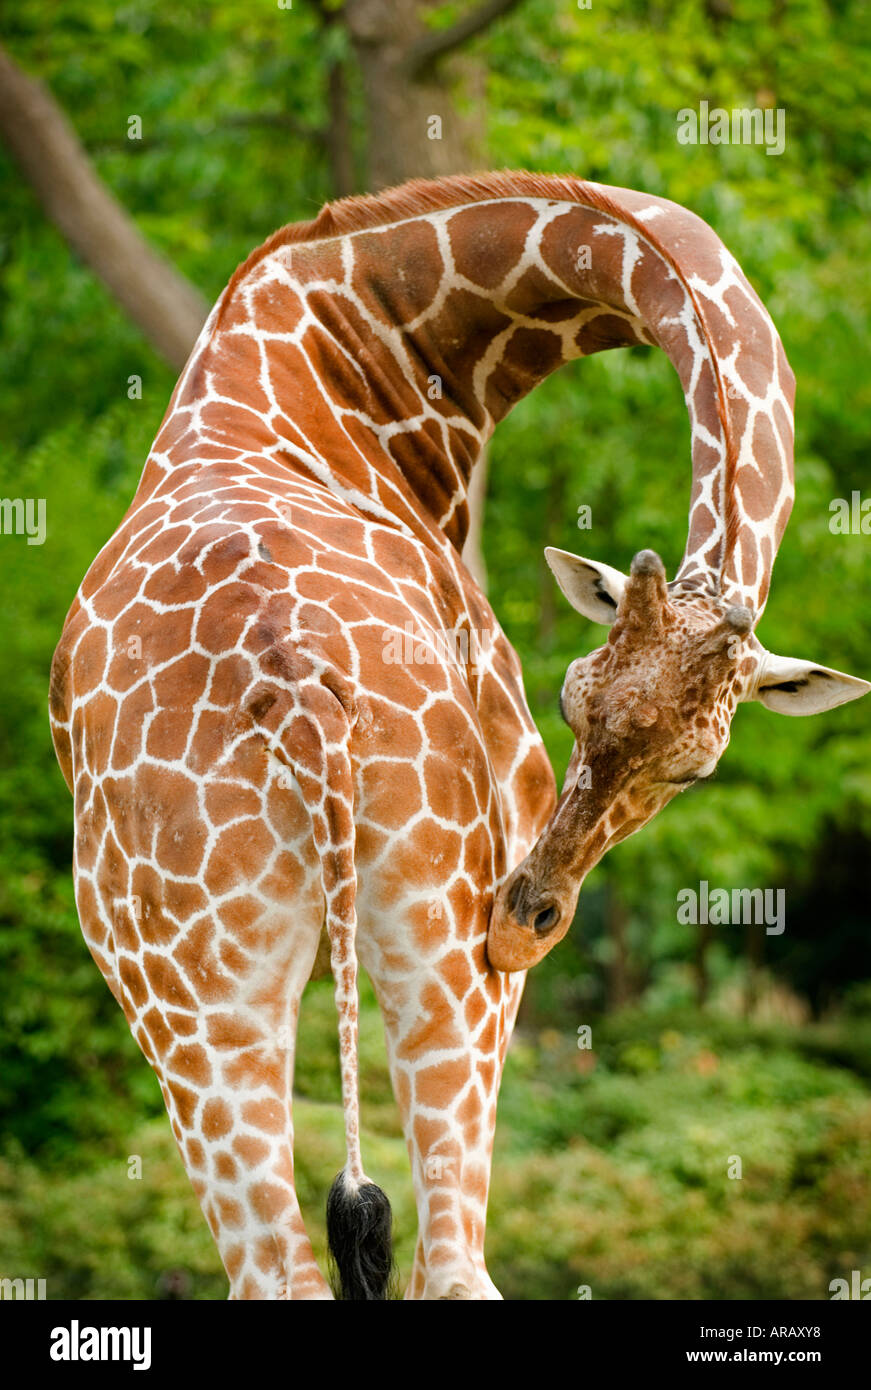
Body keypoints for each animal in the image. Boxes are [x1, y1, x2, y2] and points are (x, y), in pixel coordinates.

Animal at [49, 172, 869, 1301]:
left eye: (692, 769)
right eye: (568, 700)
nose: (524, 919)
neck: (353, 345)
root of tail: (298, 693)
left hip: (185, 989)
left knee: (279, 1264)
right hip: (436, 955)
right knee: (449, 1262)